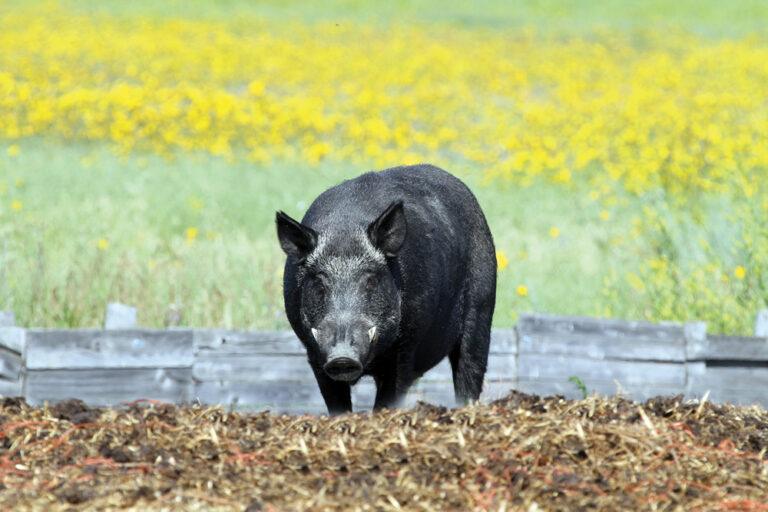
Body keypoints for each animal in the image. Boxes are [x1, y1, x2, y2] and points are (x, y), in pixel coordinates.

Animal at [276, 164, 496, 415]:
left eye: (370, 281)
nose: (342, 357)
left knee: (470, 370)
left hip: (482, 306)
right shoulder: (313, 352)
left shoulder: (406, 346)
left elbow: (388, 399)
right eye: (321, 283)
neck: (345, 231)